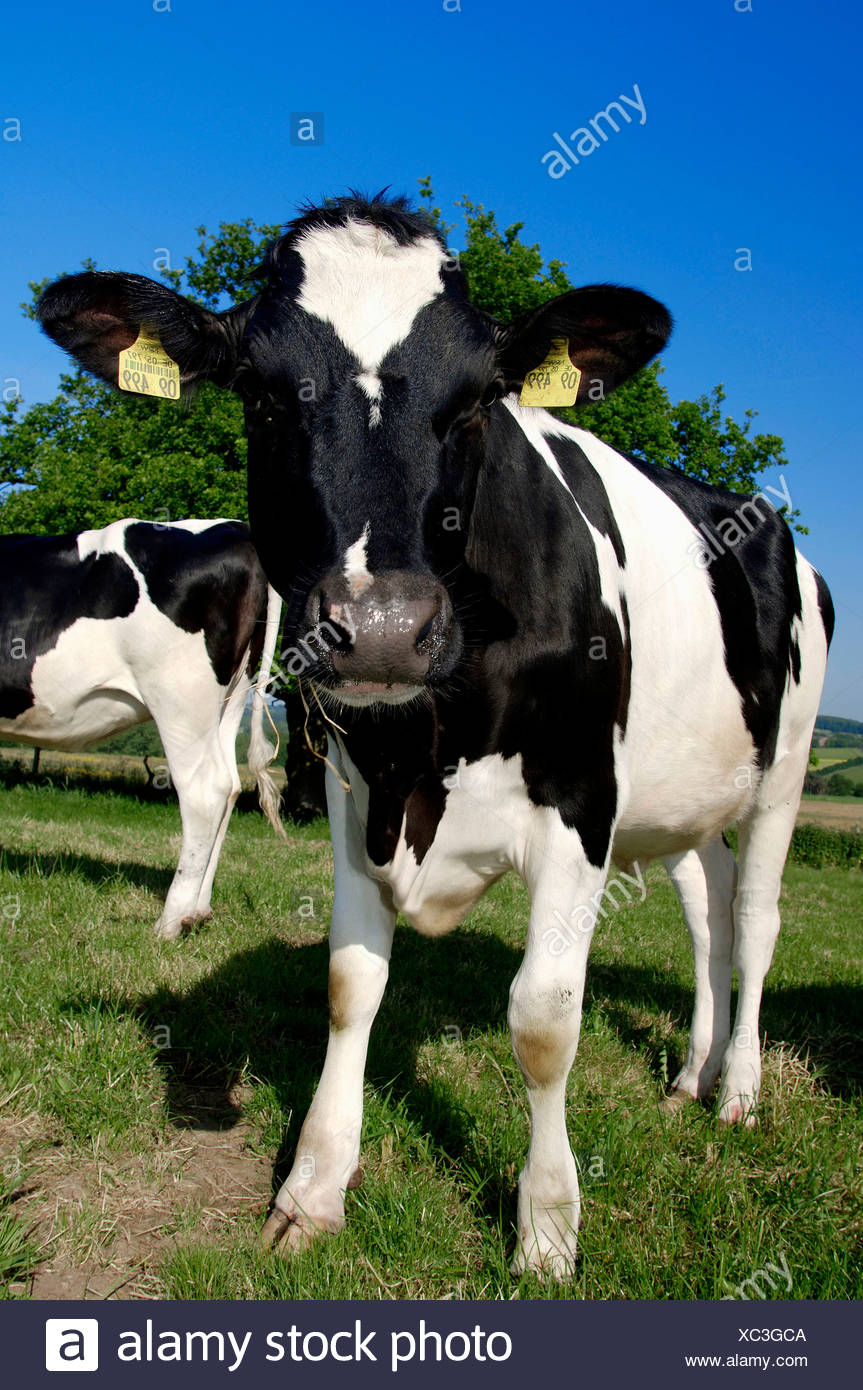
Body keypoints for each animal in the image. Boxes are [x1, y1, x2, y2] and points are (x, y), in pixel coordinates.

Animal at [0, 518, 284, 940]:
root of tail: (235, 528)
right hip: (231, 697)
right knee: (231, 786)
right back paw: (197, 911)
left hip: (179, 697)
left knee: (205, 790)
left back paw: (170, 923)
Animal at [36, 194, 833, 1276]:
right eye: (263, 396)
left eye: (476, 402)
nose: (378, 626)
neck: (424, 747)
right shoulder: (351, 791)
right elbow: (347, 984)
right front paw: (312, 1189)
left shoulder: (581, 801)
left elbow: (543, 1020)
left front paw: (546, 1229)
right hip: (685, 801)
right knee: (705, 914)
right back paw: (687, 1077)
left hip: (782, 770)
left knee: (751, 924)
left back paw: (738, 1091)